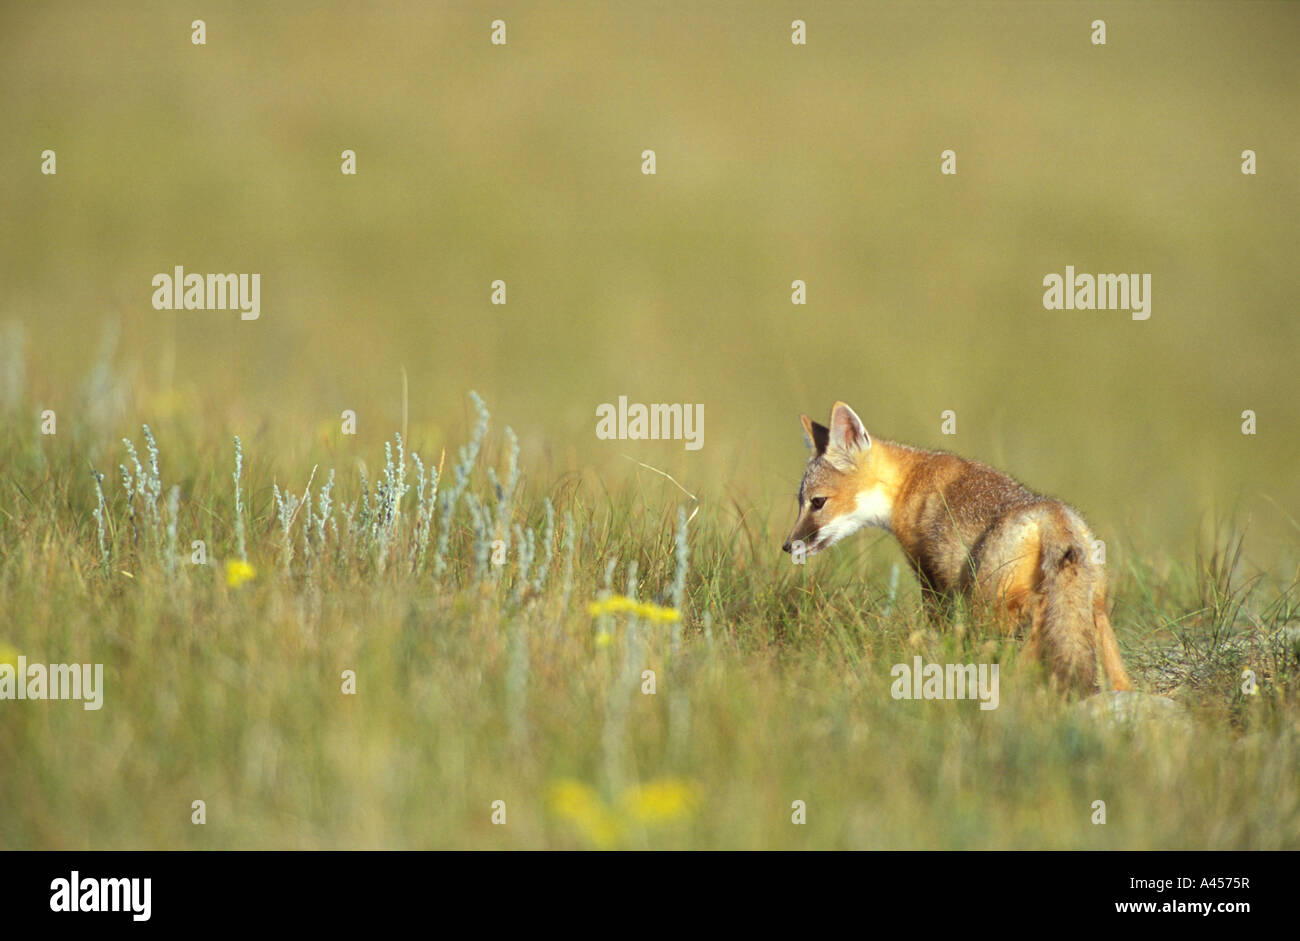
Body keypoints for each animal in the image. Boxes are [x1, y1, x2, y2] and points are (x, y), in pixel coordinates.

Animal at [782, 401, 1132, 694]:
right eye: (800, 503)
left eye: (817, 502)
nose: (787, 546)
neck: (910, 481)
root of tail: (1050, 511)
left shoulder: (930, 576)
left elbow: (936, 627)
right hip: (1094, 605)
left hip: (990, 603)